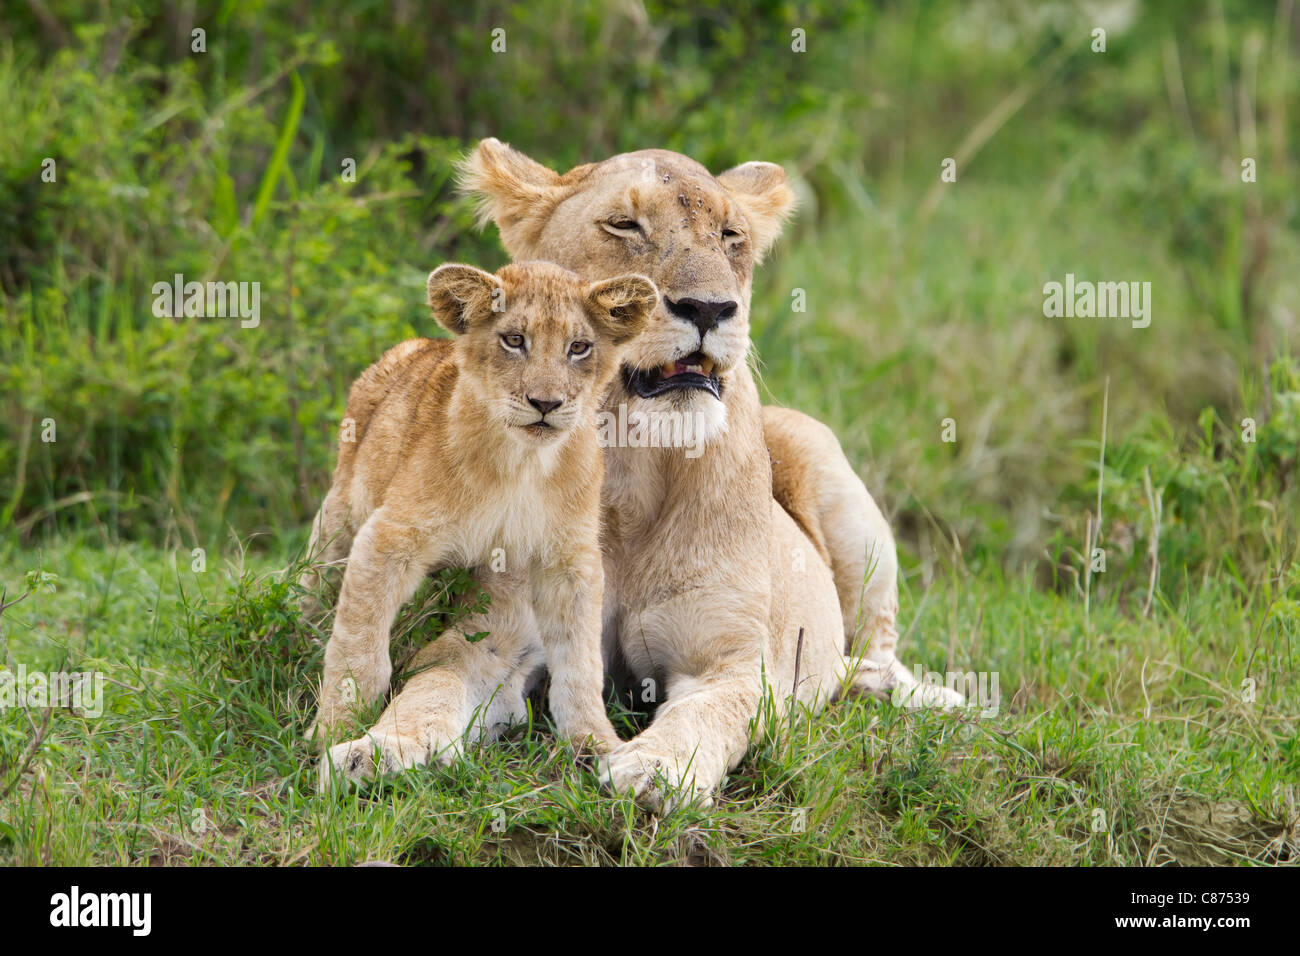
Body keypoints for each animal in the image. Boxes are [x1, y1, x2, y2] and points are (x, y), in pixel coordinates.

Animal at [301, 260, 658, 783]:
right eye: (514, 340)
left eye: (579, 347)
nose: (546, 403)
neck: (522, 464)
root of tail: (418, 344)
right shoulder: (389, 537)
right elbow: (358, 647)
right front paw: (333, 728)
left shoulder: (569, 562)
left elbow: (580, 663)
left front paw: (595, 744)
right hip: (343, 510)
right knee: (318, 575)